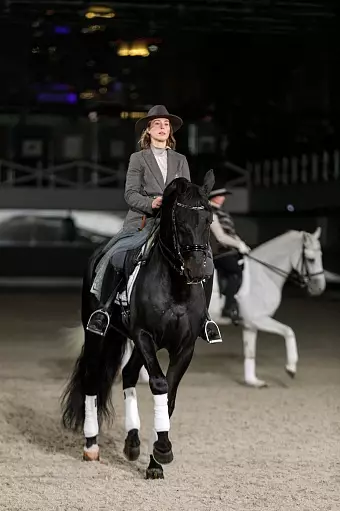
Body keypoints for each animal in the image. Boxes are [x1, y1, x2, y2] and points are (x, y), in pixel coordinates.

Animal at [61, 171, 215, 480]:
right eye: (180, 221)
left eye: (209, 220)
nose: (199, 270)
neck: (176, 288)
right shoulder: (145, 336)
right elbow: (159, 384)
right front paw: (163, 450)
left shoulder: (185, 346)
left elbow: (169, 396)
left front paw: (156, 460)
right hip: (97, 333)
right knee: (92, 378)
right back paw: (91, 446)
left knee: (129, 374)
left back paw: (132, 442)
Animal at [209, 229, 326, 388]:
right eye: (311, 259)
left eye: (321, 256)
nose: (320, 288)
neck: (263, 274)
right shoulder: (259, 319)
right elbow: (288, 331)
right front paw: (291, 368)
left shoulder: (250, 325)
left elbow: (250, 352)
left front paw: (253, 381)